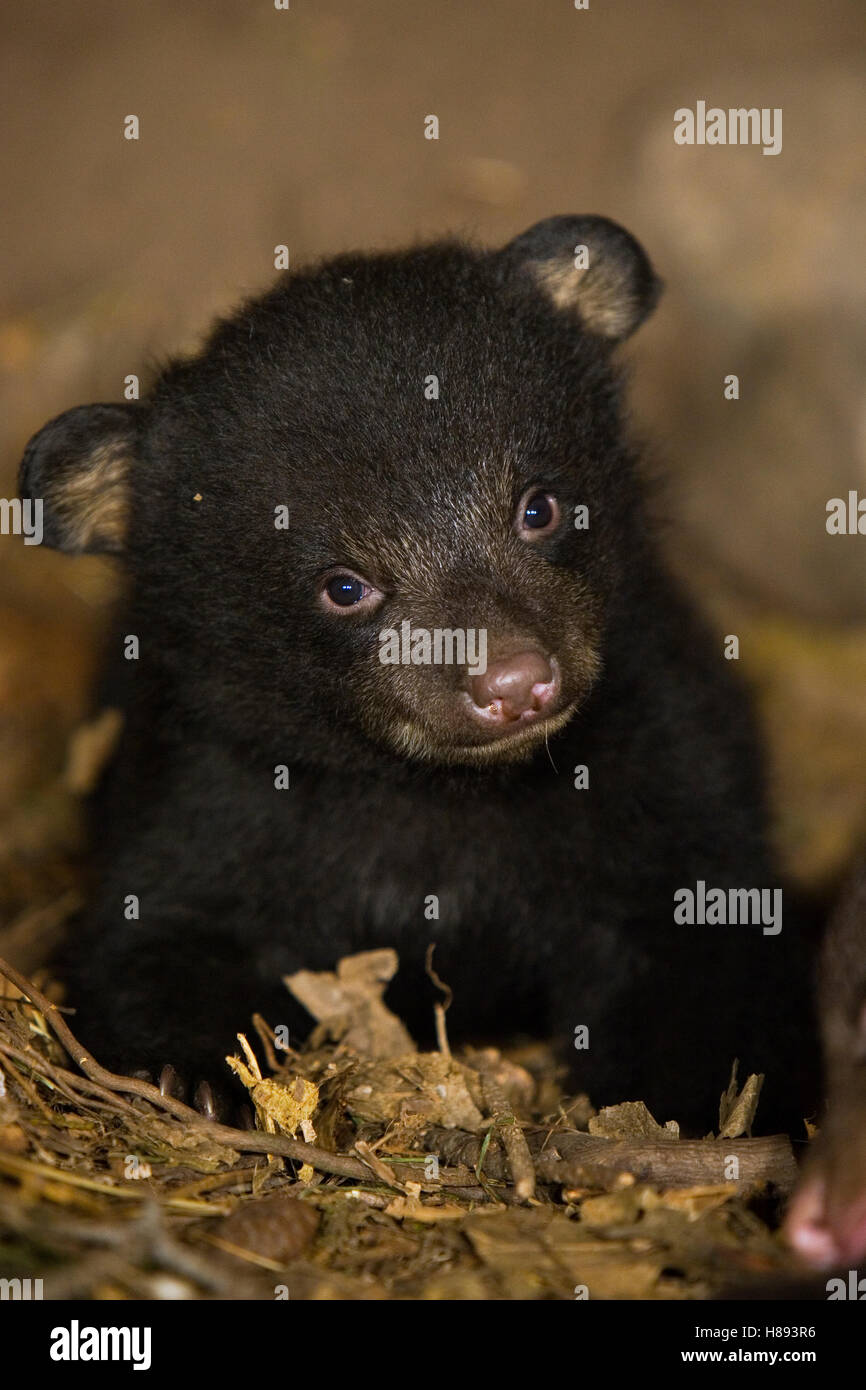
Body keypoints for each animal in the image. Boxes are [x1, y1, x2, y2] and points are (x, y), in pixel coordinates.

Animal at [18, 215, 818, 1132]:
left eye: (538, 507)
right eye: (344, 586)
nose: (515, 683)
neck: (443, 798)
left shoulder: (669, 745)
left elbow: (707, 933)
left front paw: (692, 1105)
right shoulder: (210, 791)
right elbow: (160, 927)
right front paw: (192, 1076)